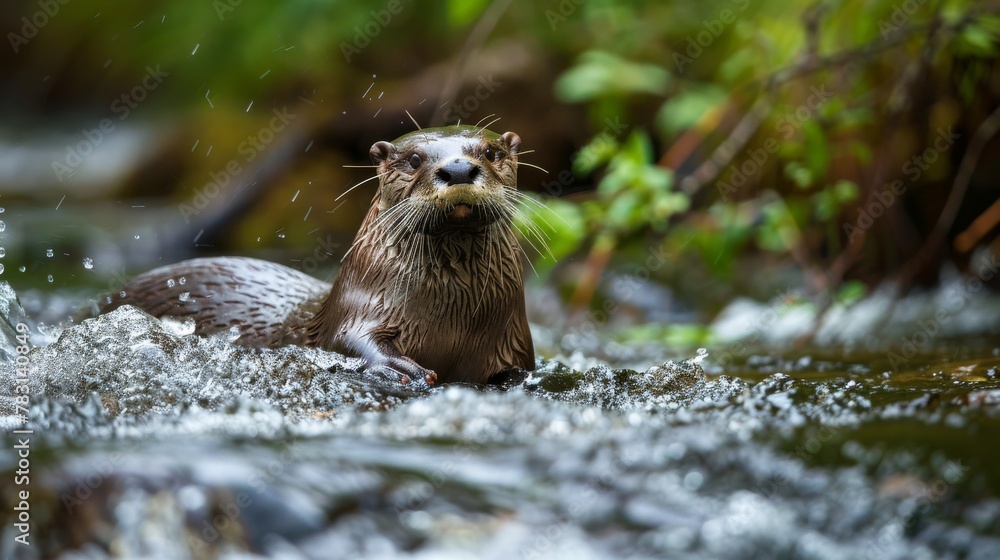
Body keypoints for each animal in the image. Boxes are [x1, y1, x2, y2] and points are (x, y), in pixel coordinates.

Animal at [102, 125, 535, 385]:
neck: (454, 320)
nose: (459, 169)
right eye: (414, 159)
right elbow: (349, 341)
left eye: (492, 152)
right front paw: (398, 366)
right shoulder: (358, 312)